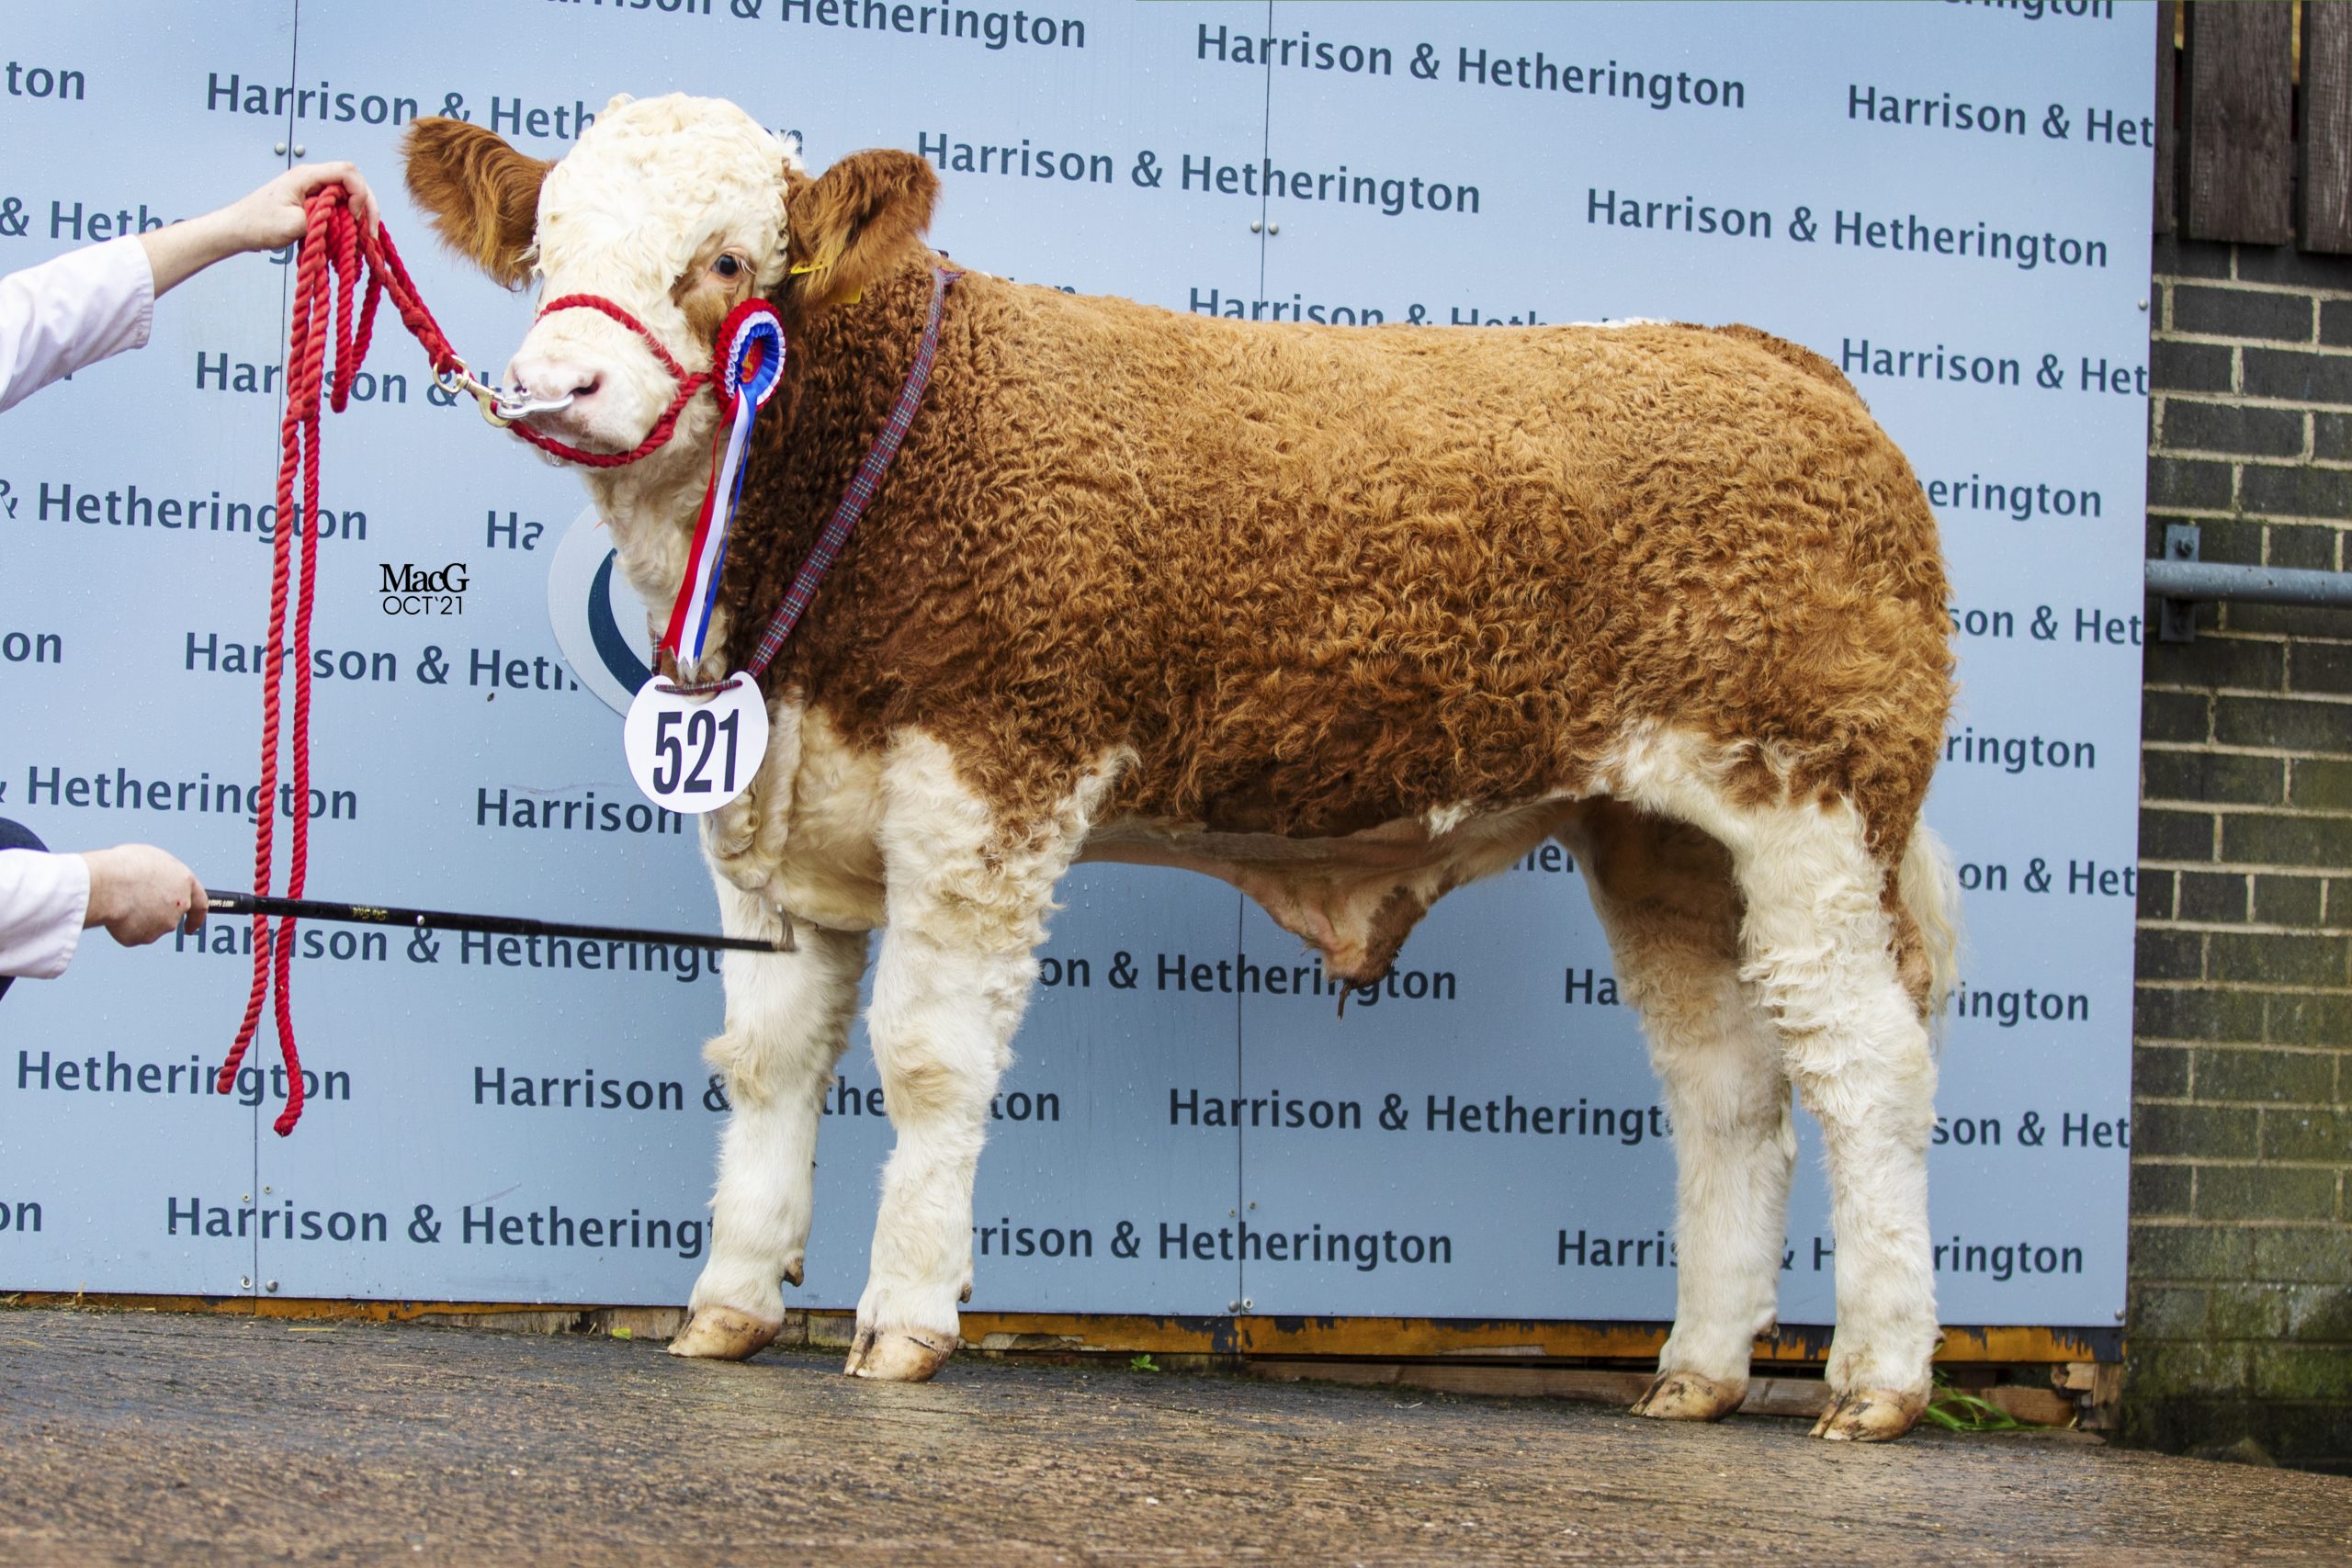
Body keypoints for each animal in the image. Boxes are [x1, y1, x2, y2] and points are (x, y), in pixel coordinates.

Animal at [403, 91, 1960, 1442]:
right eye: (542, 250)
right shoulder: (762, 819)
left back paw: (1876, 1379)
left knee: (1869, 1071)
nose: (553, 385)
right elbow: (768, 1061)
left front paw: (904, 1317)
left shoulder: (994, 778)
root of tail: (1763, 355)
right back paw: (1697, 1368)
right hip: (1660, 840)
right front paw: (724, 1304)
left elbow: (927, 1058)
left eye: (727, 260)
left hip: (1816, 811)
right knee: (1728, 1089)